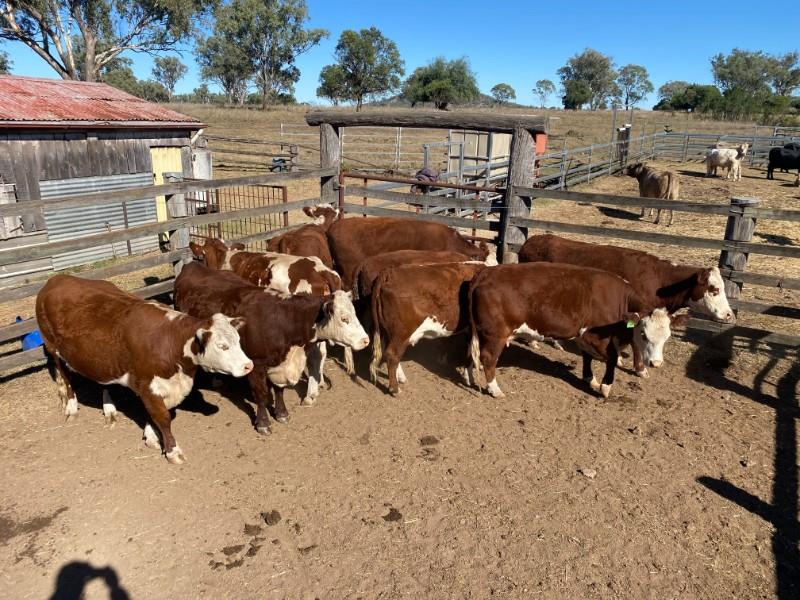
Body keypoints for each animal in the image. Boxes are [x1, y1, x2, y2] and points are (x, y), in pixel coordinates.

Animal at [35, 274, 254, 464]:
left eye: (238, 340)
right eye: (222, 346)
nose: (248, 365)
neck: (170, 341)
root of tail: (57, 278)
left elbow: (155, 414)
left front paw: (151, 436)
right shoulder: (147, 384)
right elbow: (163, 417)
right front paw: (173, 451)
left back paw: (109, 409)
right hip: (53, 348)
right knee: (65, 376)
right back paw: (72, 407)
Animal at [174, 262, 369, 433]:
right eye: (344, 318)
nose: (365, 340)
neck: (284, 320)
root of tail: (193, 265)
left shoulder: (280, 365)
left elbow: (279, 391)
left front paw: (282, 413)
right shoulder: (256, 365)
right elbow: (261, 395)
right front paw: (263, 423)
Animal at [189, 237, 356, 401]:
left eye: (202, 255)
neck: (225, 258)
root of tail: (319, 269)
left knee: (315, 356)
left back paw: (310, 394)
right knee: (324, 352)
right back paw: (322, 381)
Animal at [369, 262, 485, 394]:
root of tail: (389, 272)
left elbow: (469, 353)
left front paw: (468, 377)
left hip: (391, 332)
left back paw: (401, 378)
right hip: (402, 332)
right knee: (392, 354)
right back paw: (395, 389)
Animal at [467, 263, 679, 400]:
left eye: (667, 337)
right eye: (643, 334)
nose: (656, 363)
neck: (620, 300)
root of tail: (486, 273)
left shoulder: (583, 337)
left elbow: (587, 357)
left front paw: (590, 379)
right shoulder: (594, 336)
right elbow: (611, 358)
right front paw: (605, 387)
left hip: (477, 331)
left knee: (472, 354)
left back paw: (471, 378)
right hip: (495, 335)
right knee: (488, 358)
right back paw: (495, 389)